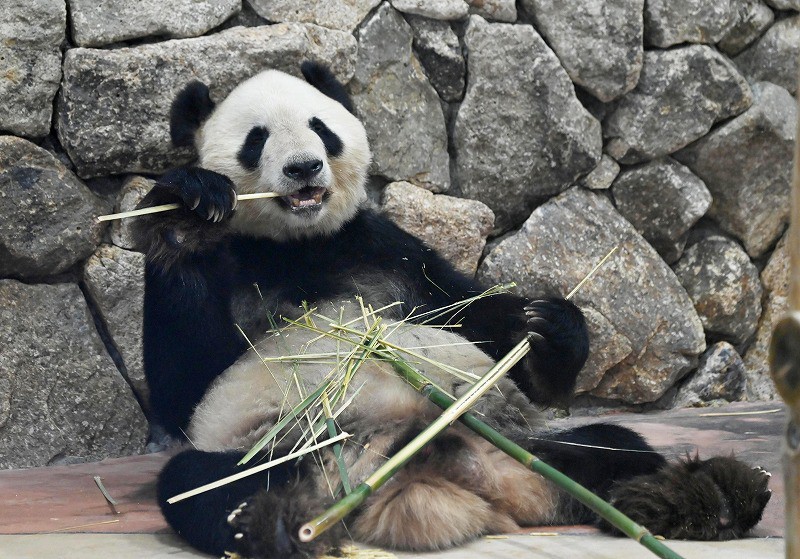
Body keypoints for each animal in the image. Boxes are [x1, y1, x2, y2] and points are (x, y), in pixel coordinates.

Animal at [133, 62, 771, 559]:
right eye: (257, 138)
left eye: (321, 129)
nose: (303, 168)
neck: (299, 244)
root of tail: (431, 472)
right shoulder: (240, 266)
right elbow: (184, 384)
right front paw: (189, 205)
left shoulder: (385, 249)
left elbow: (473, 316)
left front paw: (550, 331)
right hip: (286, 449)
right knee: (203, 486)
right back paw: (279, 527)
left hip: (519, 443)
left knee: (613, 449)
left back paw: (700, 500)